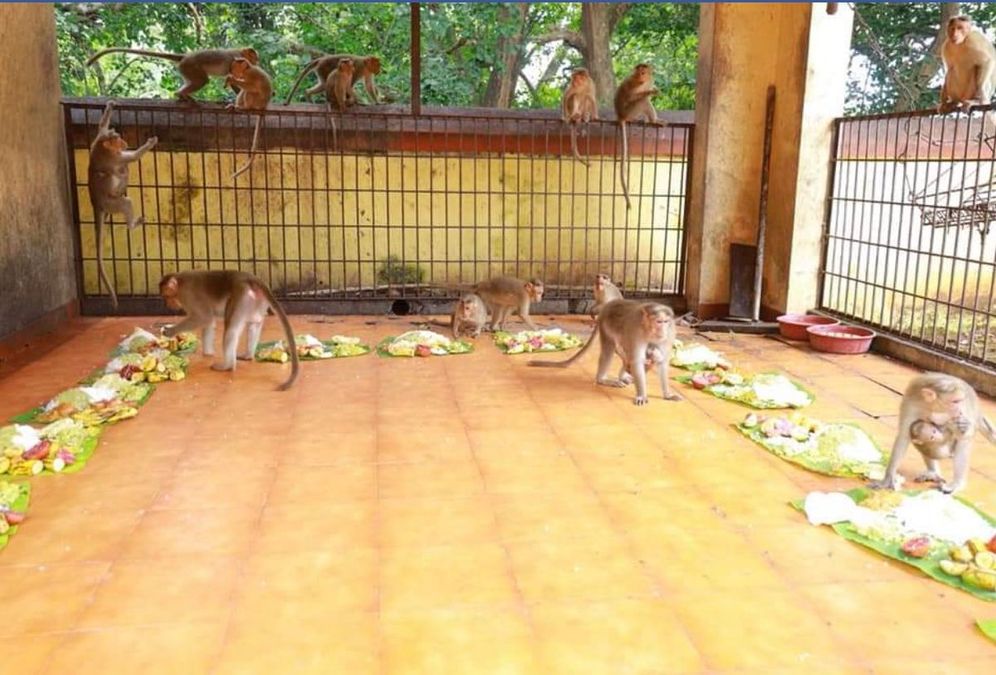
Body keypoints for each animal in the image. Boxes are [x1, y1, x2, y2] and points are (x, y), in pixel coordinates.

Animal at [86, 48, 259, 102]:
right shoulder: (236, 59)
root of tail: (185, 57)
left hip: (185, 69)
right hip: (190, 66)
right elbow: (233, 79)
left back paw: (181, 94)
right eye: (254, 57)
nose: (257, 62)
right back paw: (181, 94)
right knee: (202, 80)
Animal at [87, 101, 158, 309]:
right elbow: (133, 157)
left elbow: (101, 125)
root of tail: (97, 204)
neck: (101, 146)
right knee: (126, 202)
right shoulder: (116, 157)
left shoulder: (98, 137)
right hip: (113, 203)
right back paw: (132, 224)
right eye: (118, 141)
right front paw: (149, 144)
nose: (125, 143)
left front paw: (110, 105)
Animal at [158, 270, 299, 390]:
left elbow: (203, 317)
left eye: (167, 296)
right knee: (254, 323)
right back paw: (248, 355)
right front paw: (208, 353)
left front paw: (169, 331)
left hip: (241, 297)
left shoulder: (188, 295)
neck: (180, 282)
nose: (168, 304)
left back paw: (227, 366)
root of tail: (250, 278)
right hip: (257, 301)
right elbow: (209, 322)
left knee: (231, 330)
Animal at [529, 299, 680, 406]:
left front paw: (667, 394)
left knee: (627, 353)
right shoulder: (635, 332)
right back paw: (603, 379)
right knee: (610, 349)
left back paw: (624, 374)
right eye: (659, 321)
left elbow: (662, 363)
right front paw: (642, 395)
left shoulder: (670, 334)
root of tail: (608, 305)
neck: (648, 330)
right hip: (606, 326)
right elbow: (636, 360)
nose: (663, 330)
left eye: (666, 322)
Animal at [614, 64, 665, 210]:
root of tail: (621, 116)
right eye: (639, 71)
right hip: (630, 111)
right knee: (642, 101)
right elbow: (632, 97)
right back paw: (653, 120)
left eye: (644, 71)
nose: (640, 75)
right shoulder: (632, 82)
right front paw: (651, 92)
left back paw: (648, 121)